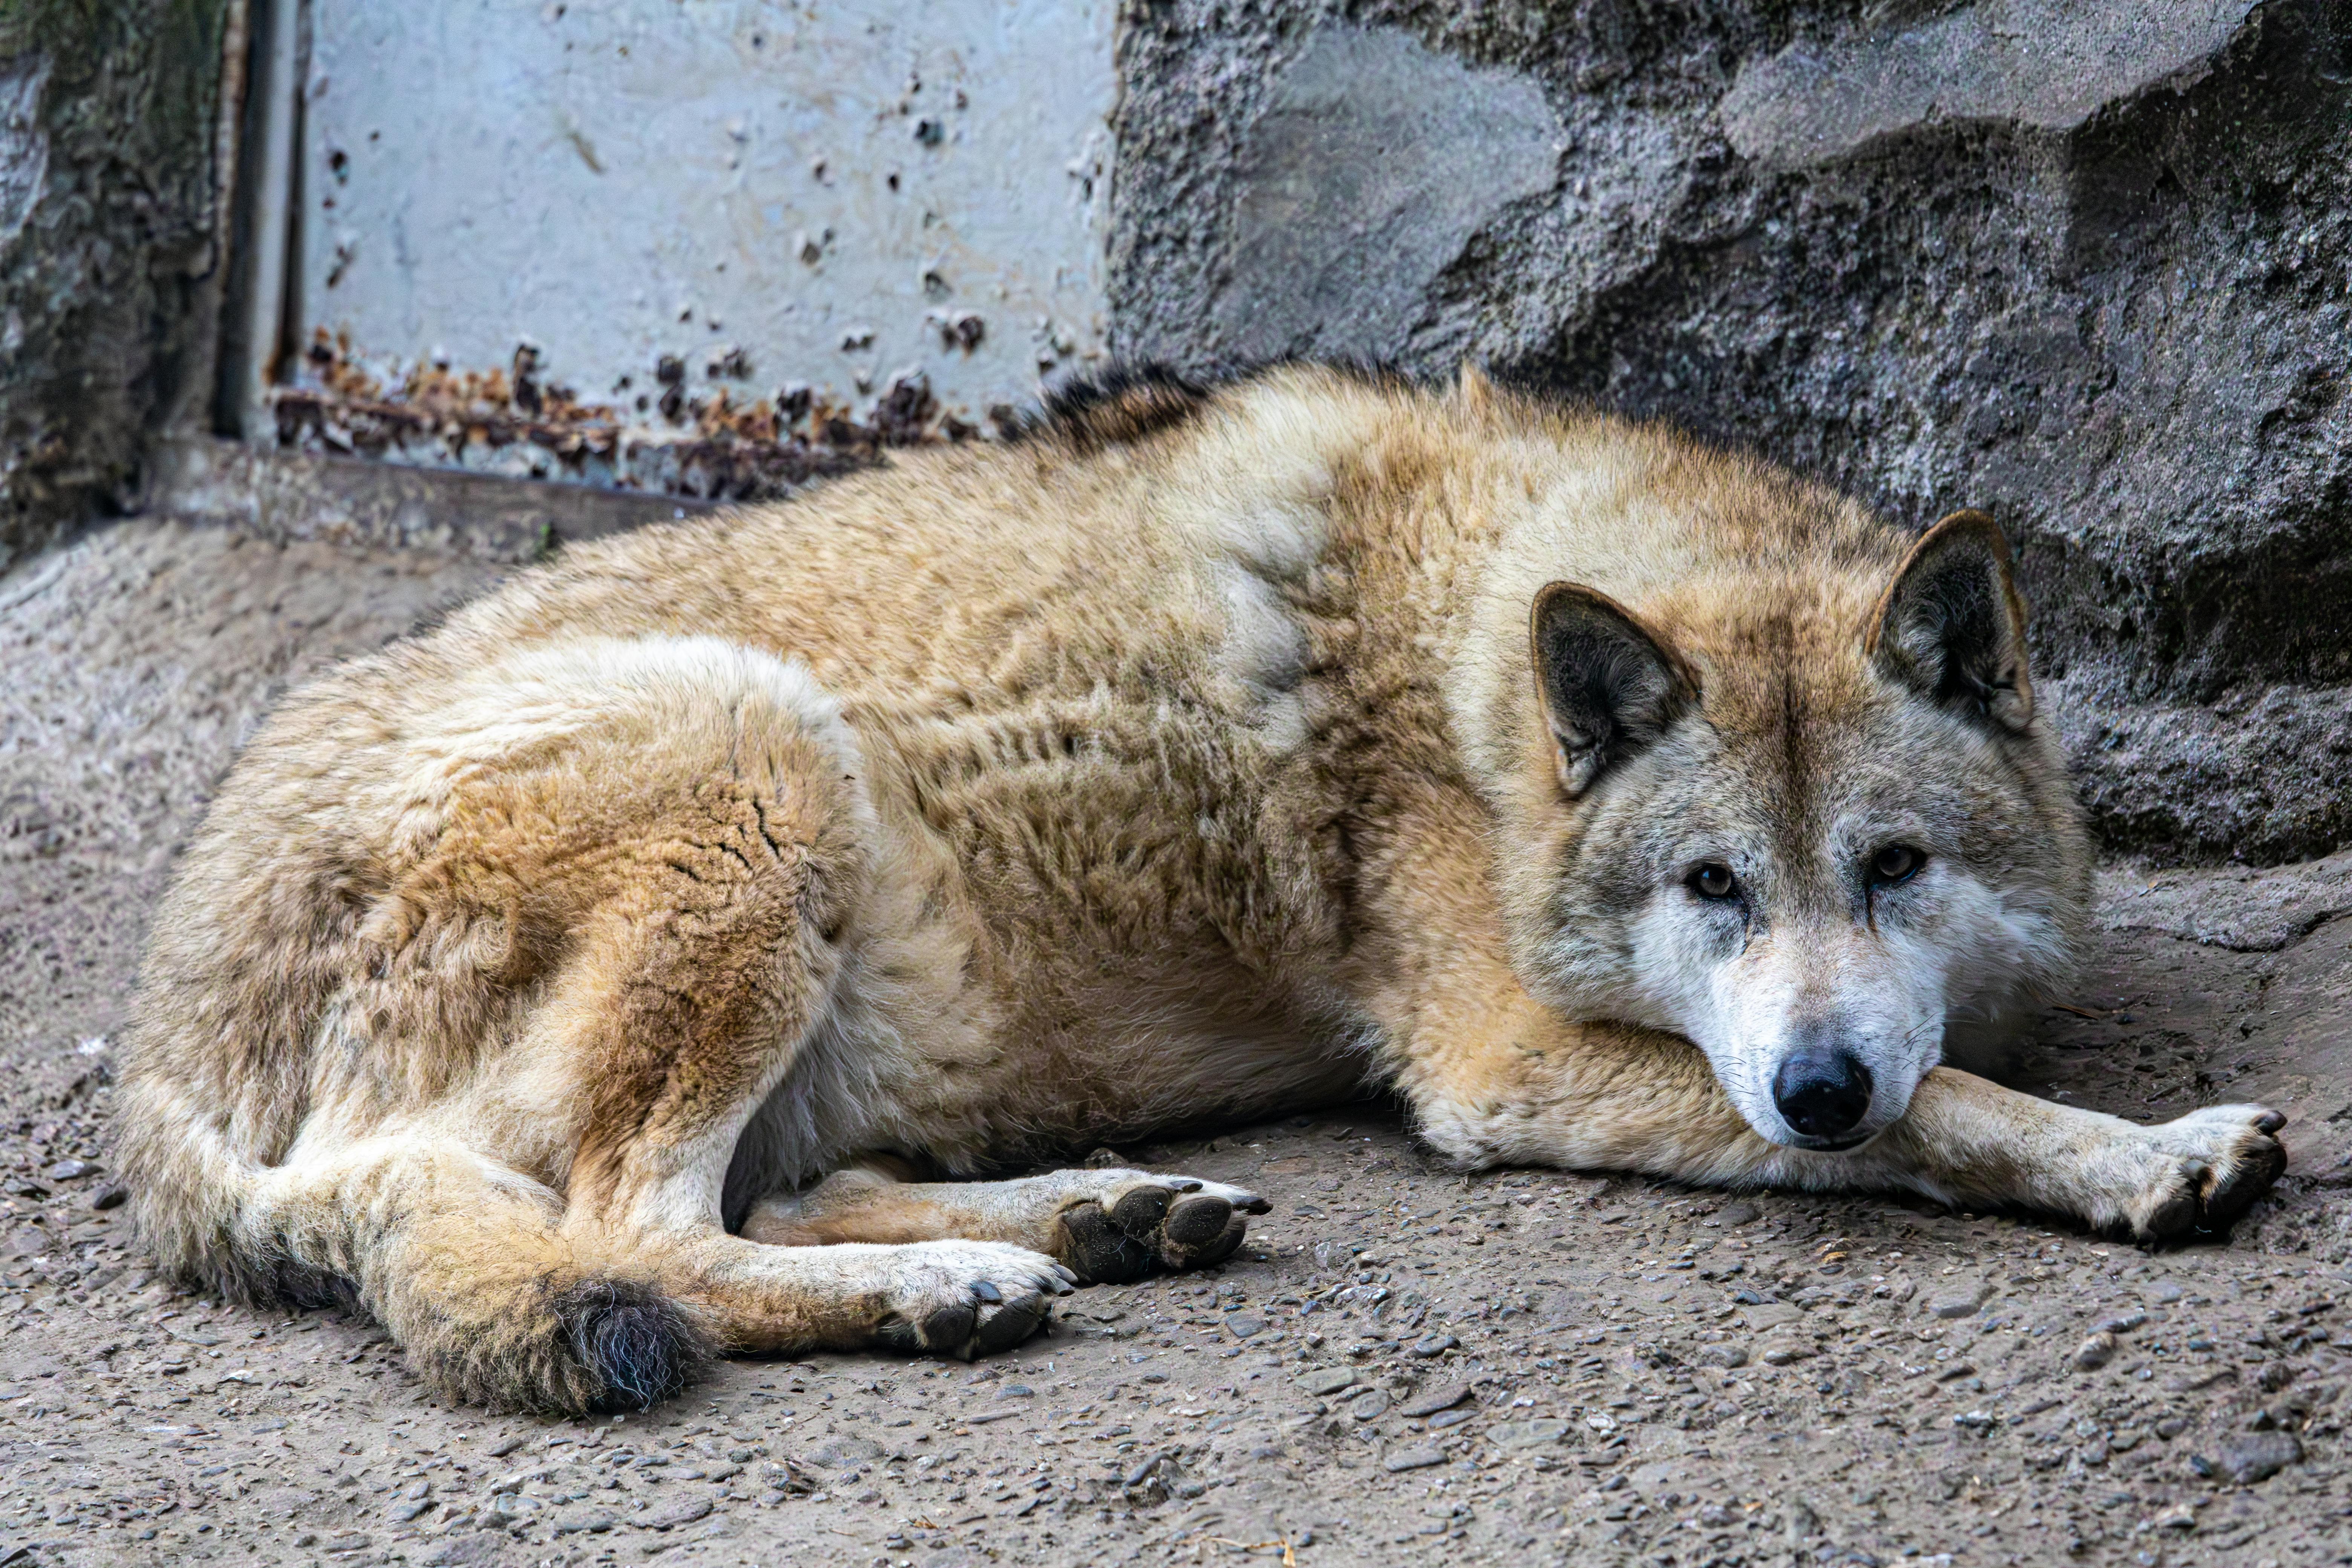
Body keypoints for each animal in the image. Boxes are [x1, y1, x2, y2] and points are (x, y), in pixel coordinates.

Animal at [116, 363, 2285, 1413]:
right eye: (1713, 887)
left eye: (1891, 869)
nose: (1817, 1085)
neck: (1480, 647)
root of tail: (163, 1040)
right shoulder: (1504, 1066)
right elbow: (1960, 1110)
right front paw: (2147, 1158)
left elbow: (1946, 1079)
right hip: (762, 764)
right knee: (634, 1237)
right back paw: (955, 1288)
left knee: (752, 1204)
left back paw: (1101, 1221)